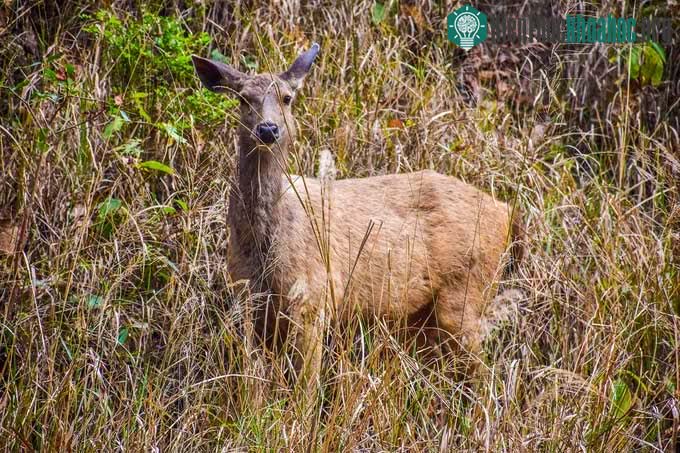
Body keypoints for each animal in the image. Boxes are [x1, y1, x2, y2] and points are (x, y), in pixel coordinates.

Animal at [191, 42, 524, 388]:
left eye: (287, 97)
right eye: (243, 98)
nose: (268, 129)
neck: (265, 243)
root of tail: (507, 211)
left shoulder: (315, 298)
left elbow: (305, 388)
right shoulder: (248, 300)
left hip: (466, 290)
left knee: (484, 374)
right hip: (423, 317)